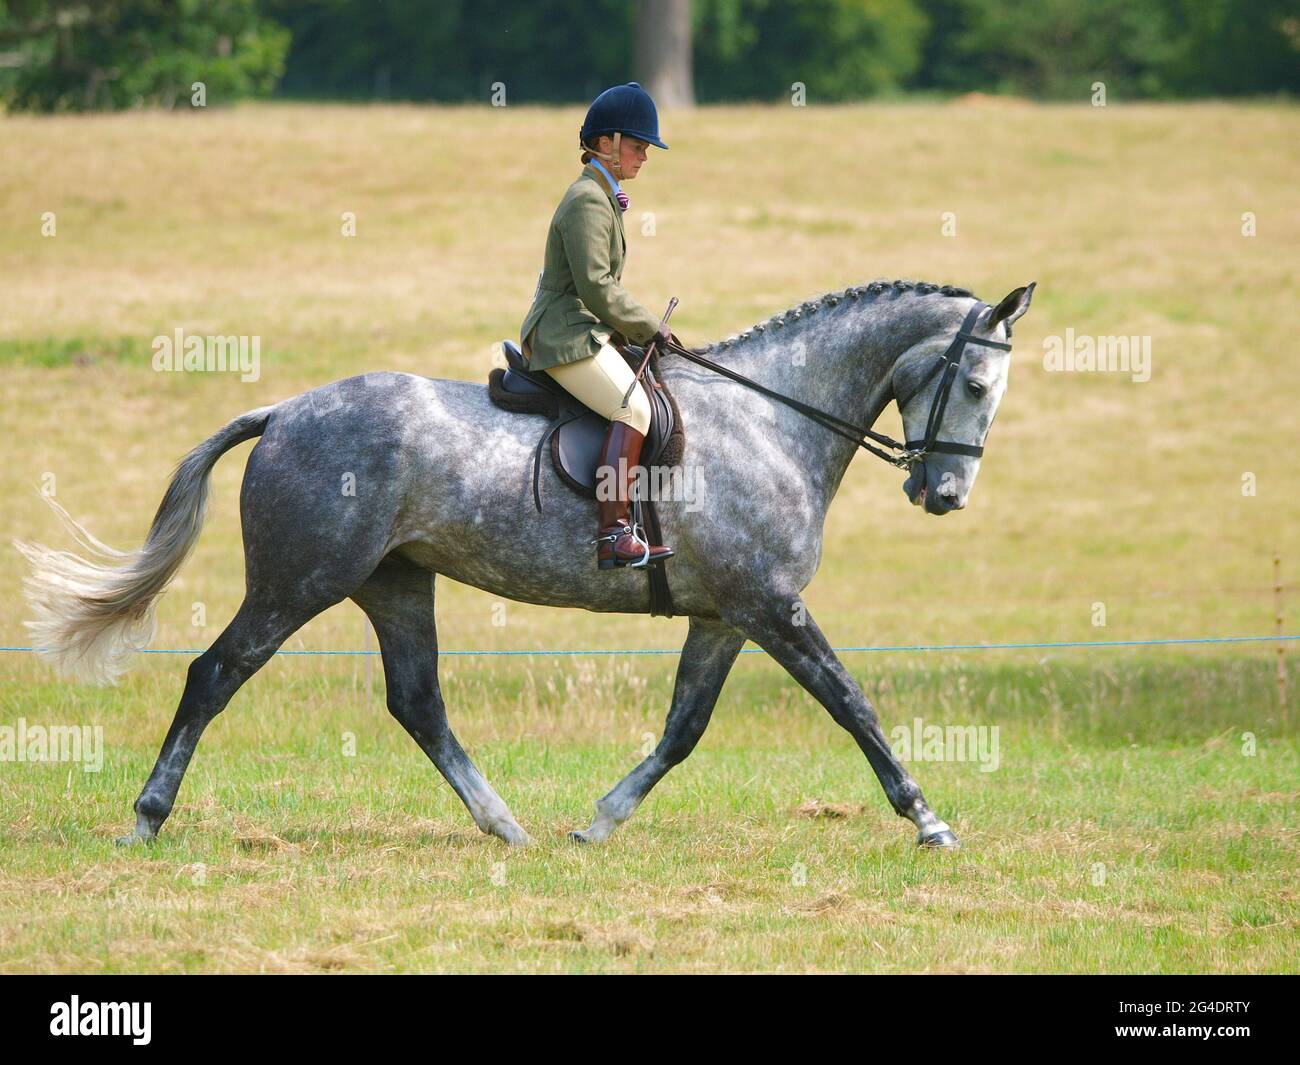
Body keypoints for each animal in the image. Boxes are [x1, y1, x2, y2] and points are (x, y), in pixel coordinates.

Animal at [15, 278, 1034, 850]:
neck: (773, 414)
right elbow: (854, 705)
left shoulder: (726, 615)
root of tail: (284, 412)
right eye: (977, 383)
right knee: (215, 673)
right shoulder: (771, 607)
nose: (944, 495)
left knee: (418, 703)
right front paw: (929, 820)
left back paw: (504, 824)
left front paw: (599, 821)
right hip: (299, 582)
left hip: (395, 584)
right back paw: (147, 817)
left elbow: (684, 729)